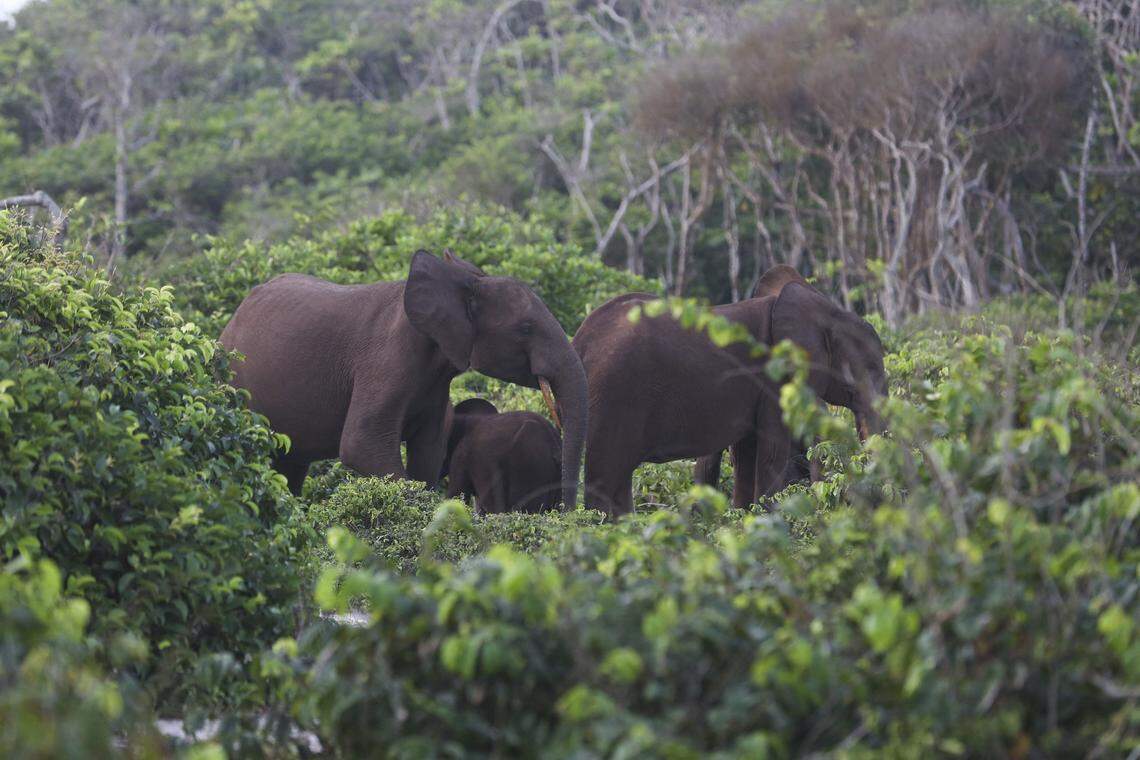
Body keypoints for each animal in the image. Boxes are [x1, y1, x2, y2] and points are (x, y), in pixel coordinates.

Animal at [220, 250, 587, 509]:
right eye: (525, 329)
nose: (567, 515)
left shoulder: (436, 381)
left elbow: (429, 451)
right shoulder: (385, 360)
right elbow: (362, 444)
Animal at [573, 272, 886, 516]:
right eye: (868, 370)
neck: (825, 310)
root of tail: (581, 338)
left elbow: (748, 453)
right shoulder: (775, 378)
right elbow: (771, 451)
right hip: (614, 392)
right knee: (605, 476)